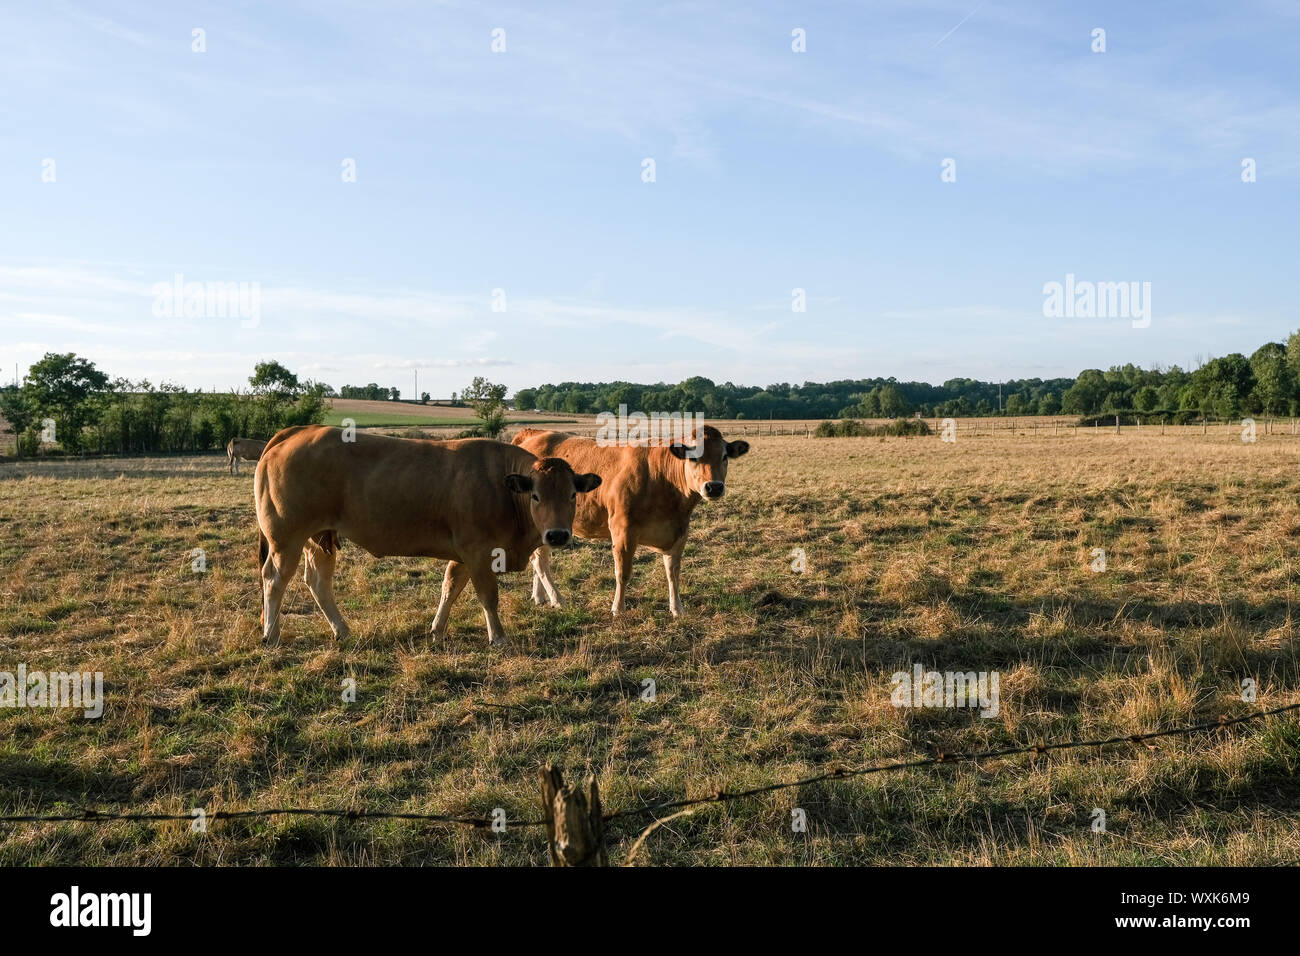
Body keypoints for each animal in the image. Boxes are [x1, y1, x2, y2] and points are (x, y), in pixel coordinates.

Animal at [253, 425, 601, 647]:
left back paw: (342, 630)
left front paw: (437, 629)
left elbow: (450, 587)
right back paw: (271, 634)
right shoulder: (478, 552)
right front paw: (499, 637)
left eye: (572, 495)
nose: (557, 535)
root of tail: (297, 432)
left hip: (319, 538)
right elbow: (488, 596)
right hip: (286, 539)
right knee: (274, 579)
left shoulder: (463, 554)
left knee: (317, 582)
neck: (504, 489)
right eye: (536, 496)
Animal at [511, 425, 749, 618]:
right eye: (693, 458)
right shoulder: (622, 531)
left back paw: (540, 597)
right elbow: (623, 573)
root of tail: (533, 433)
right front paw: (618, 608)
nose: (714, 487)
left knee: (538, 559)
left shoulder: (679, 532)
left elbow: (673, 573)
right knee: (540, 561)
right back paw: (558, 599)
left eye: (725, 457)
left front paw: (677, 609)